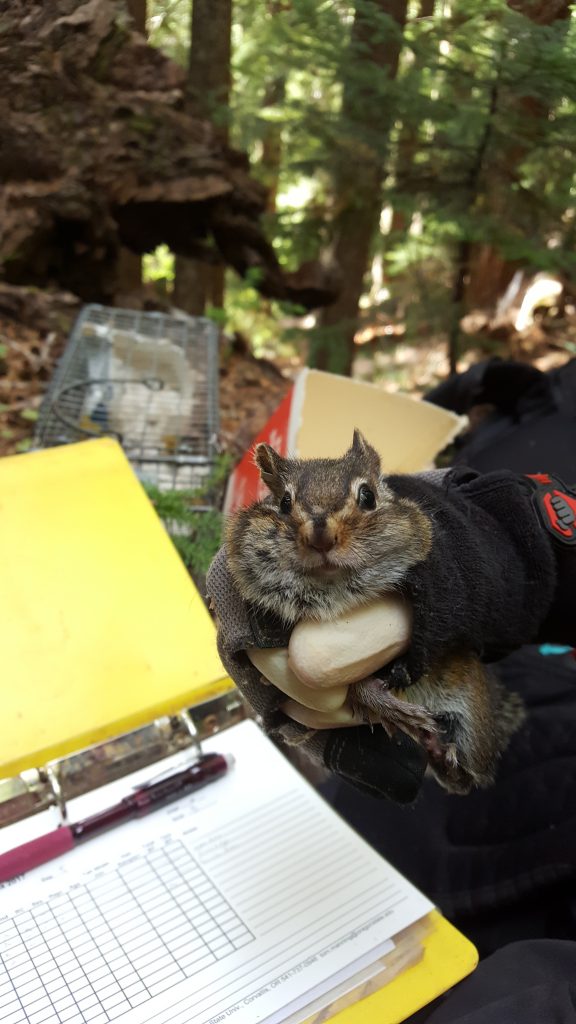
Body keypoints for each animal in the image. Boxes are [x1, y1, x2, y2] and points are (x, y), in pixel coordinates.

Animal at [225, 429, 525, 795]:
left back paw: (449, 755)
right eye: (283, 502)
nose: (320, 536)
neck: (333, 595)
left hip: (472, 710)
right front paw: (384, 704)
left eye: (367, 496)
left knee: (470, 777)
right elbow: (354, 687)